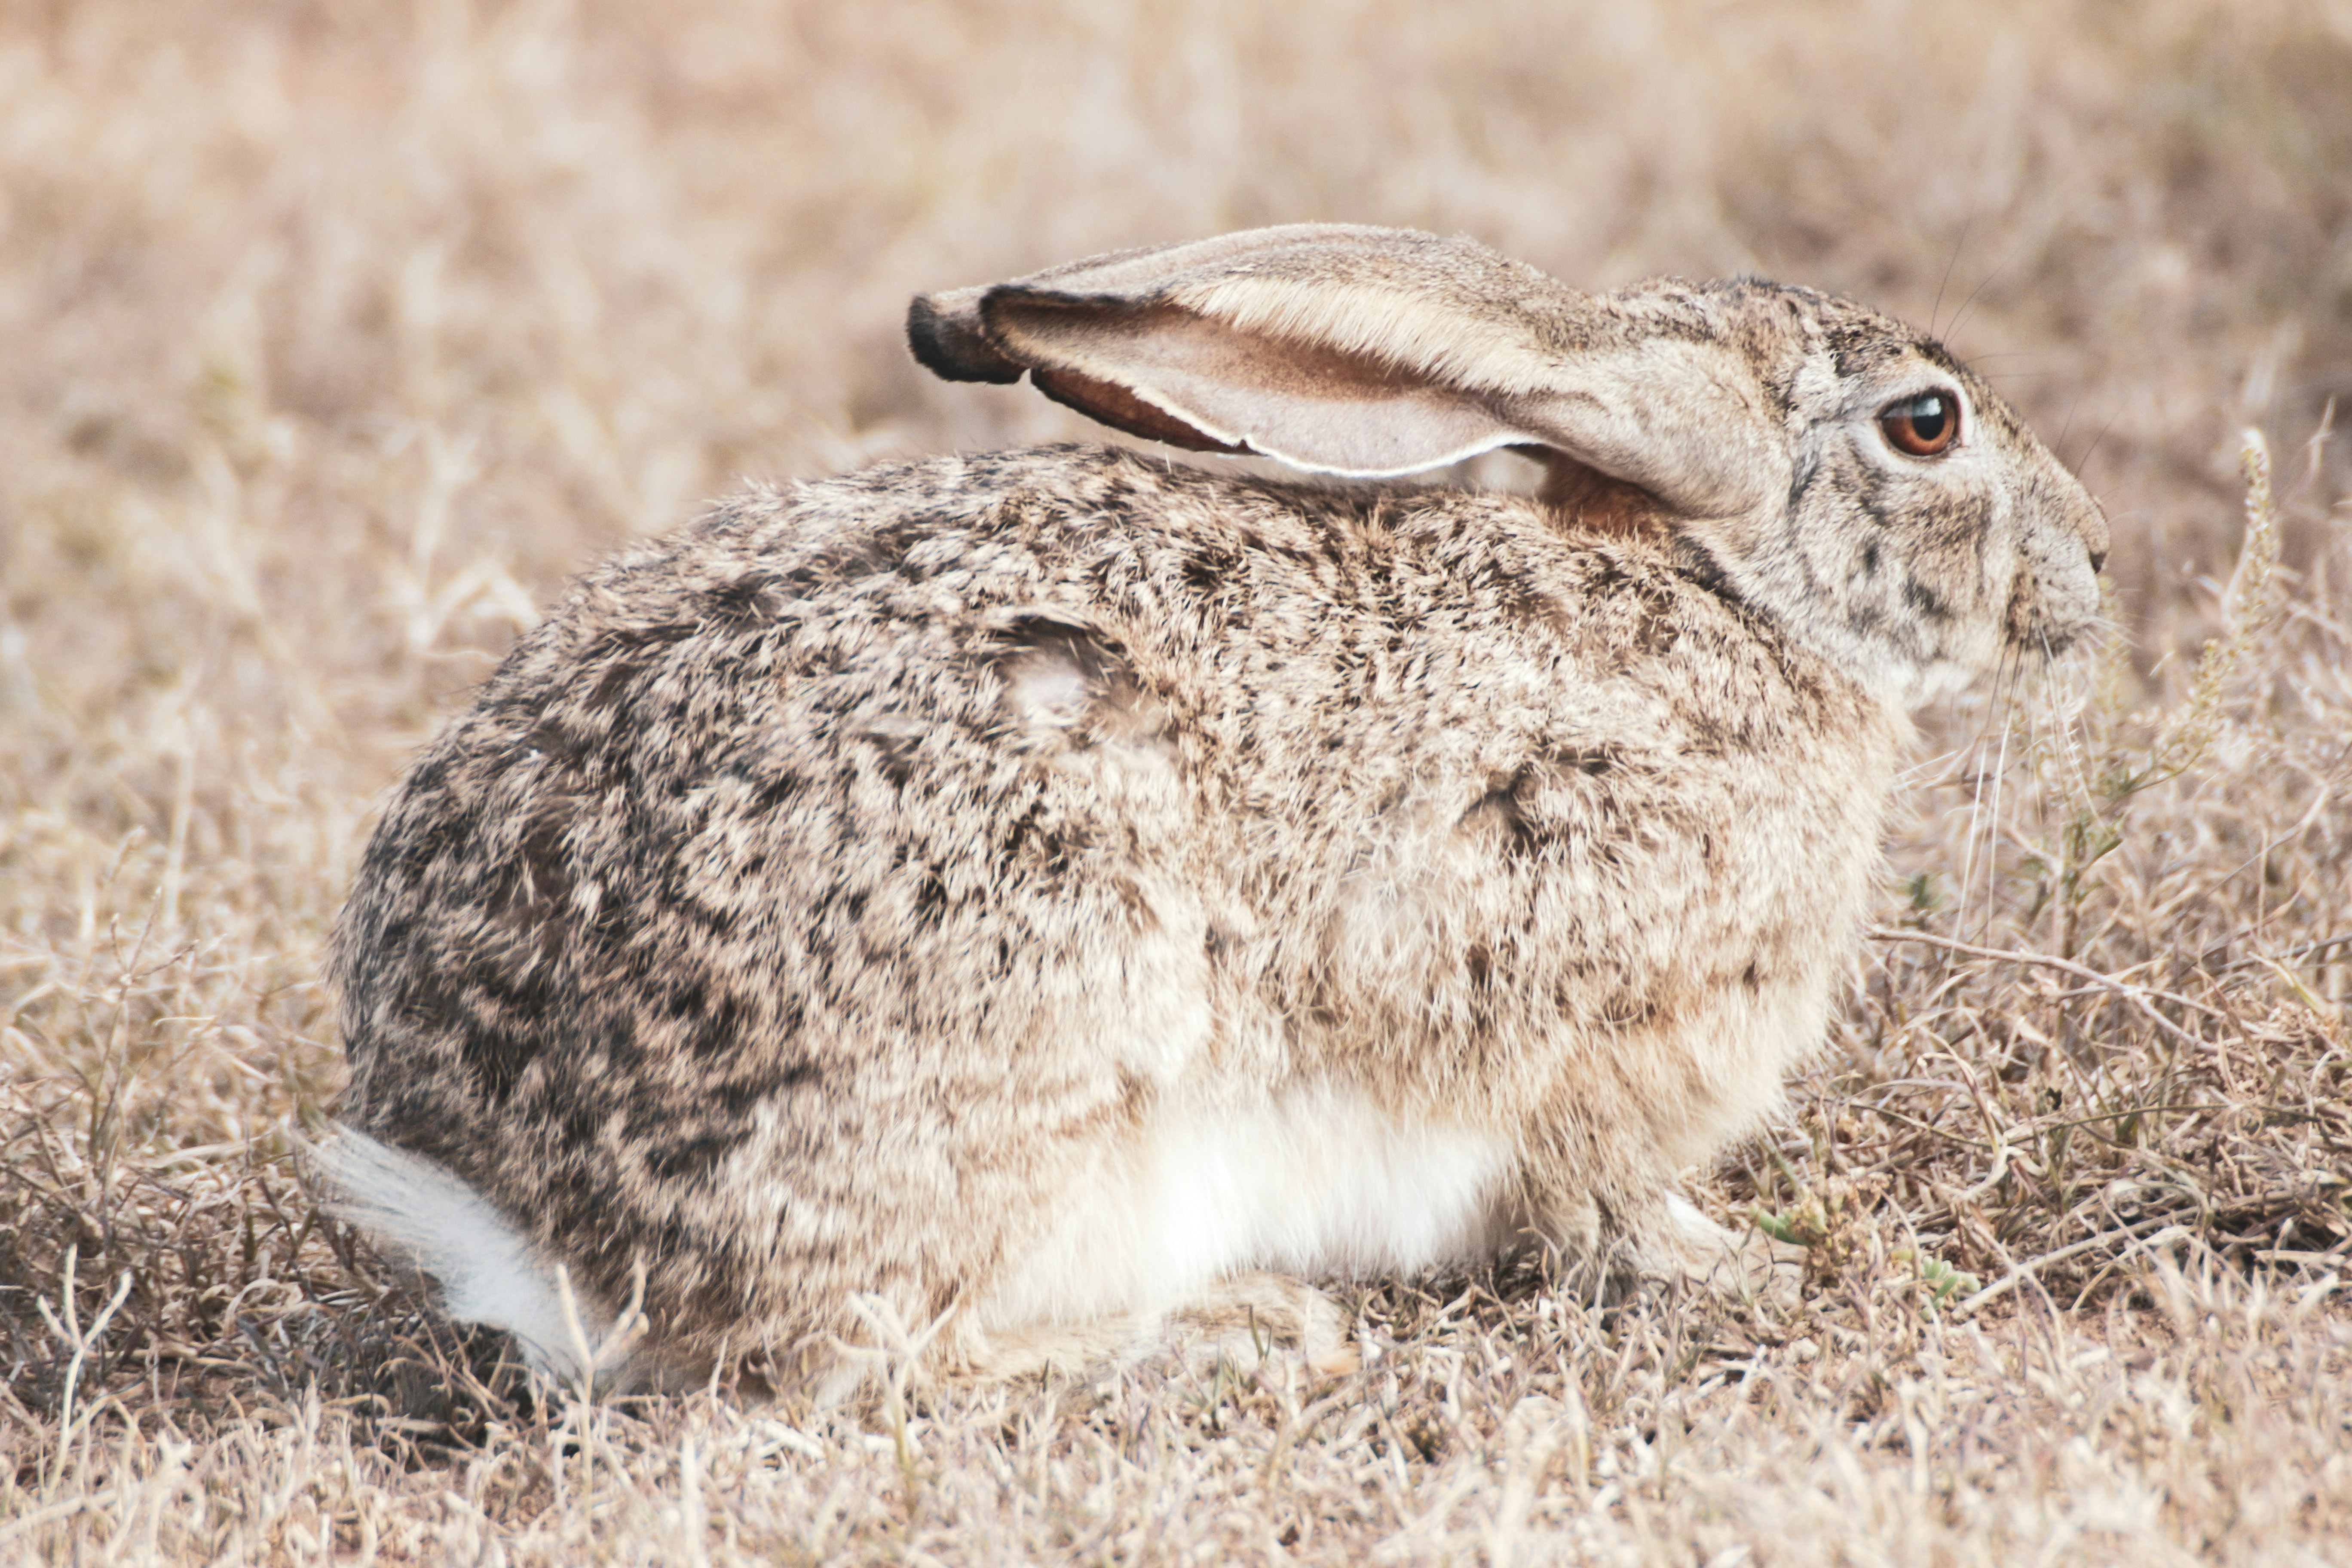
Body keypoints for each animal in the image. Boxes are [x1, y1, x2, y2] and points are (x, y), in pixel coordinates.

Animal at [314, 223, 2107, 1392]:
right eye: (1927, 423)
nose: (2091, 564)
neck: (1721, 584)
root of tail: (533, 1216)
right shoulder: (1589, 1032)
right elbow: (1598, 1196)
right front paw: (1743, 1258)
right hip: (1045, 1028)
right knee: (860, 1357)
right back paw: (1235, 1331)